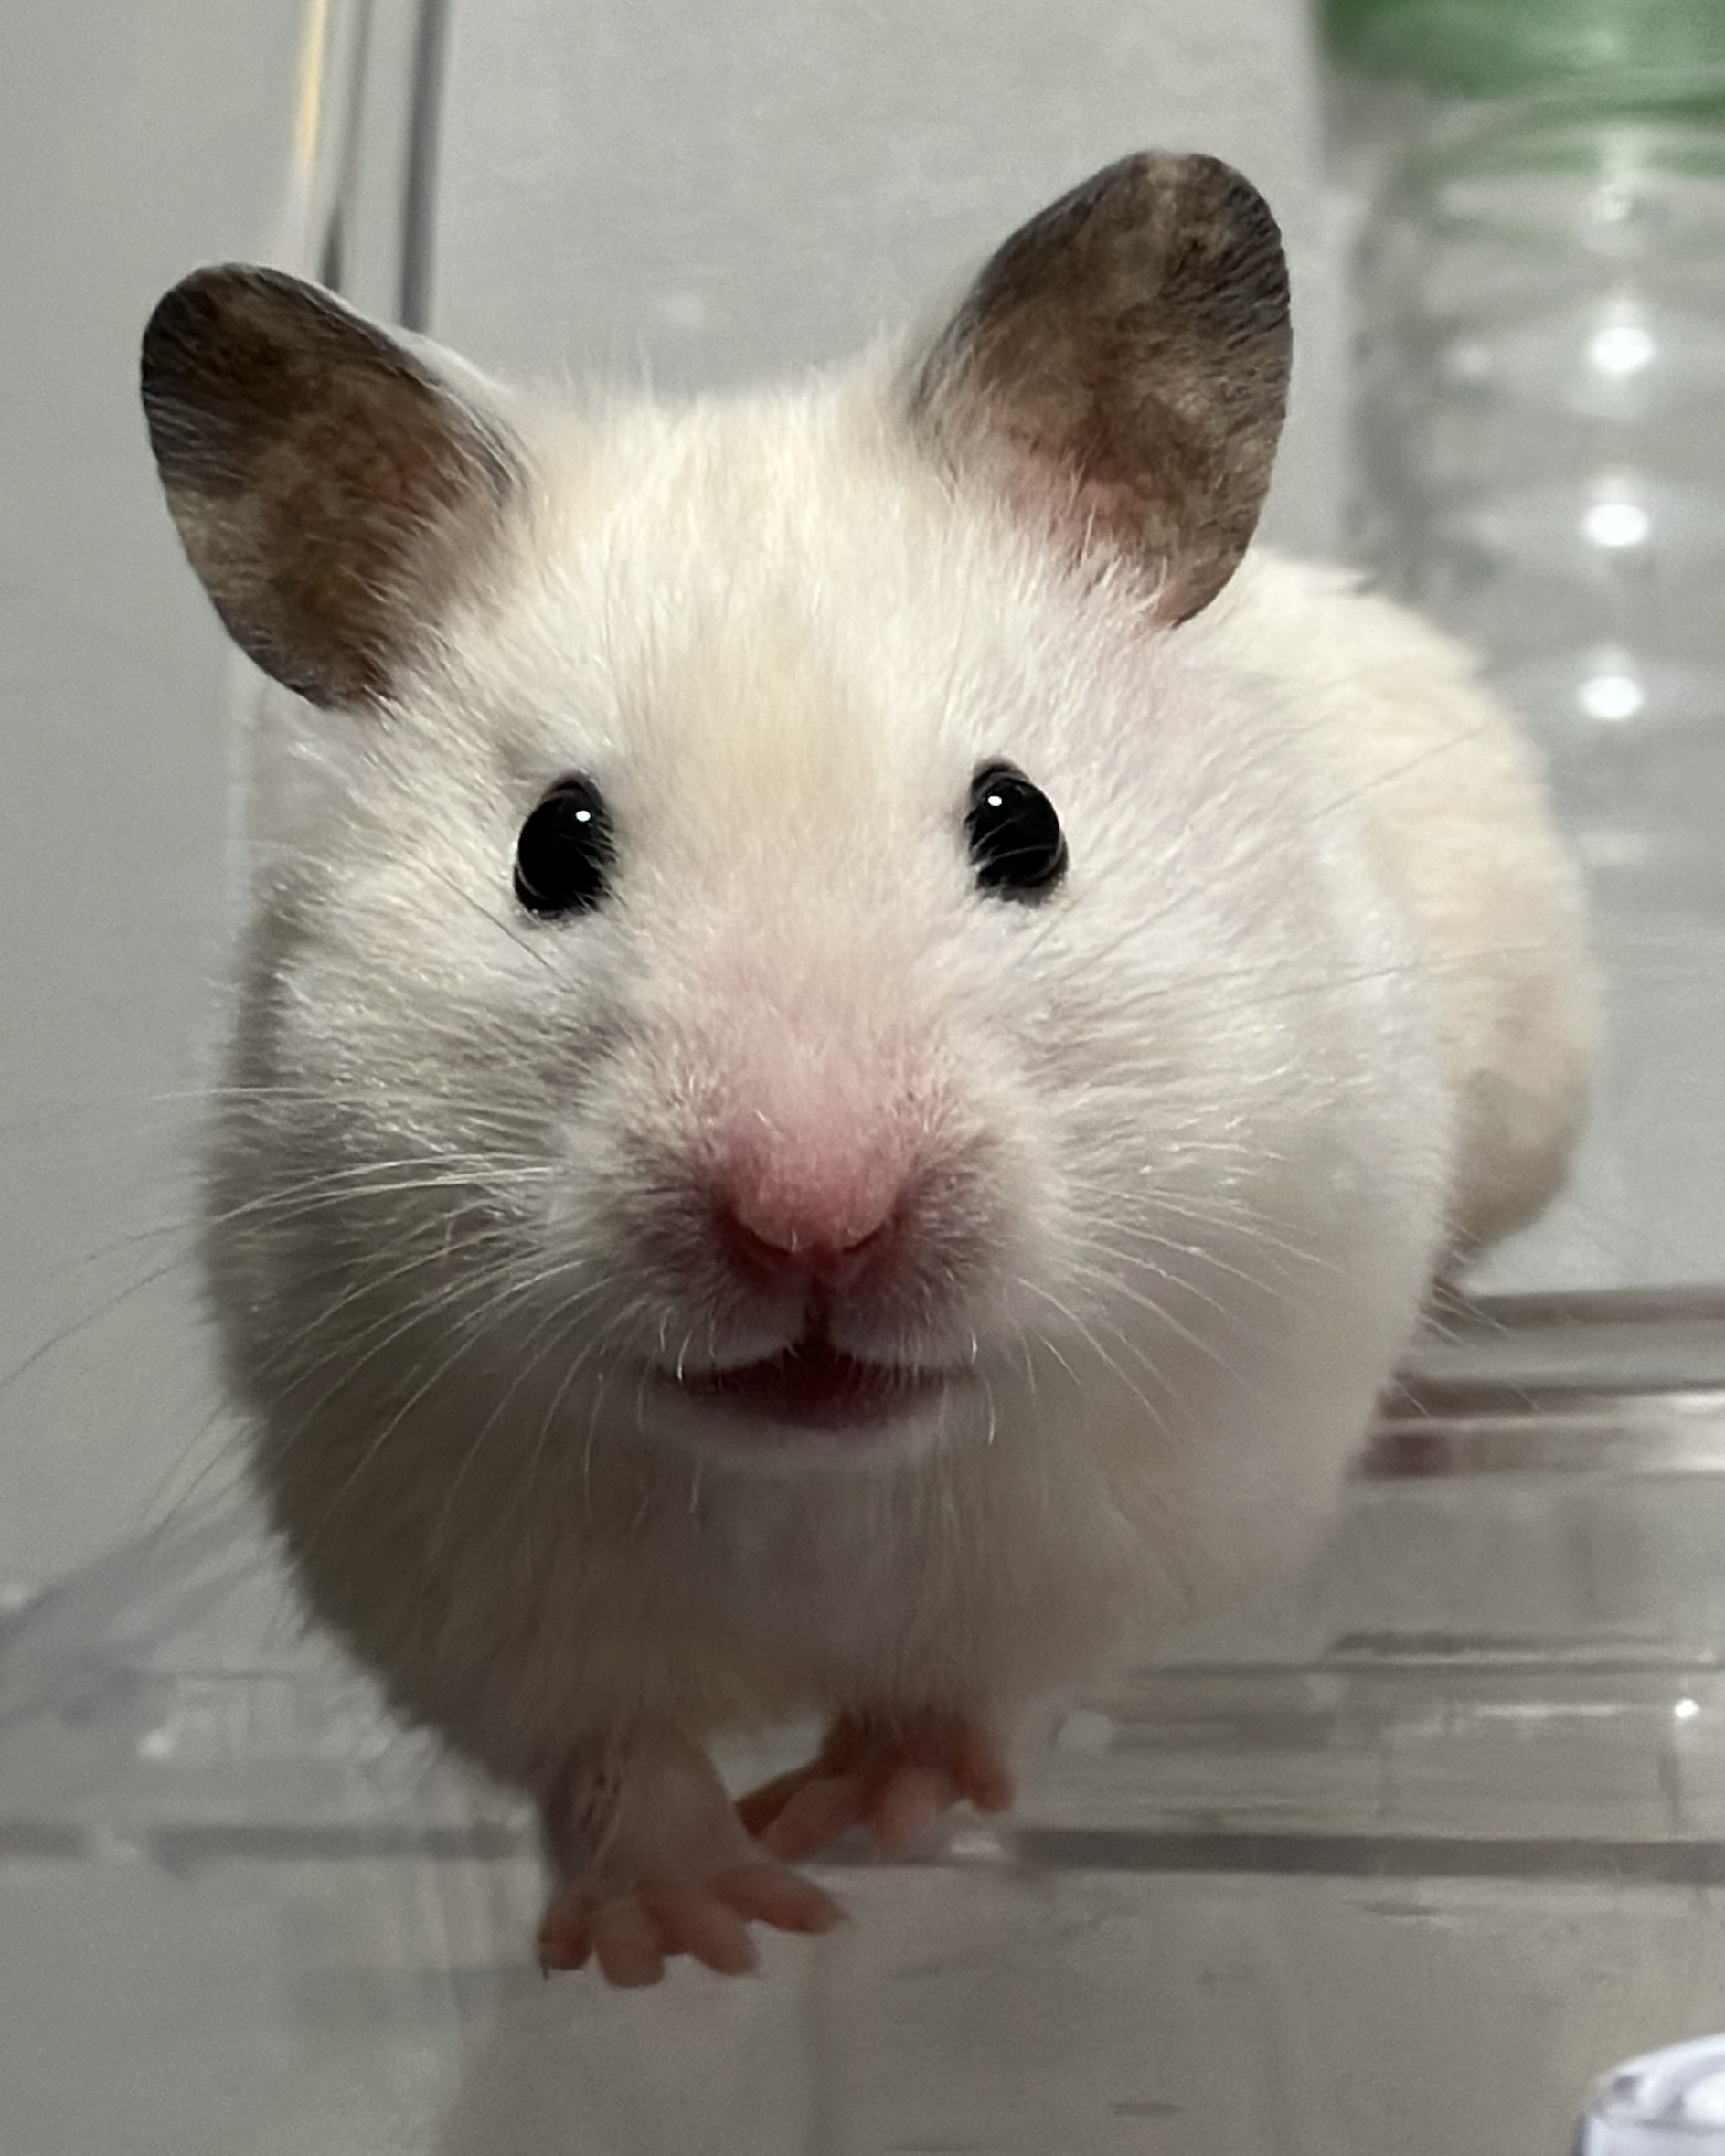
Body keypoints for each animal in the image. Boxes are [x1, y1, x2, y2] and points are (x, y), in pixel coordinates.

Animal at [139, 152, 1590, 1987]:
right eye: (551, 847)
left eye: (1020, 825)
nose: (811, 1216)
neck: (811, 1482)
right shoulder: (436, 1538)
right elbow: (610, 1745)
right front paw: (693, 1931)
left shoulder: (1137, 1510)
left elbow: (963, 1682)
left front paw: (861, 1818)